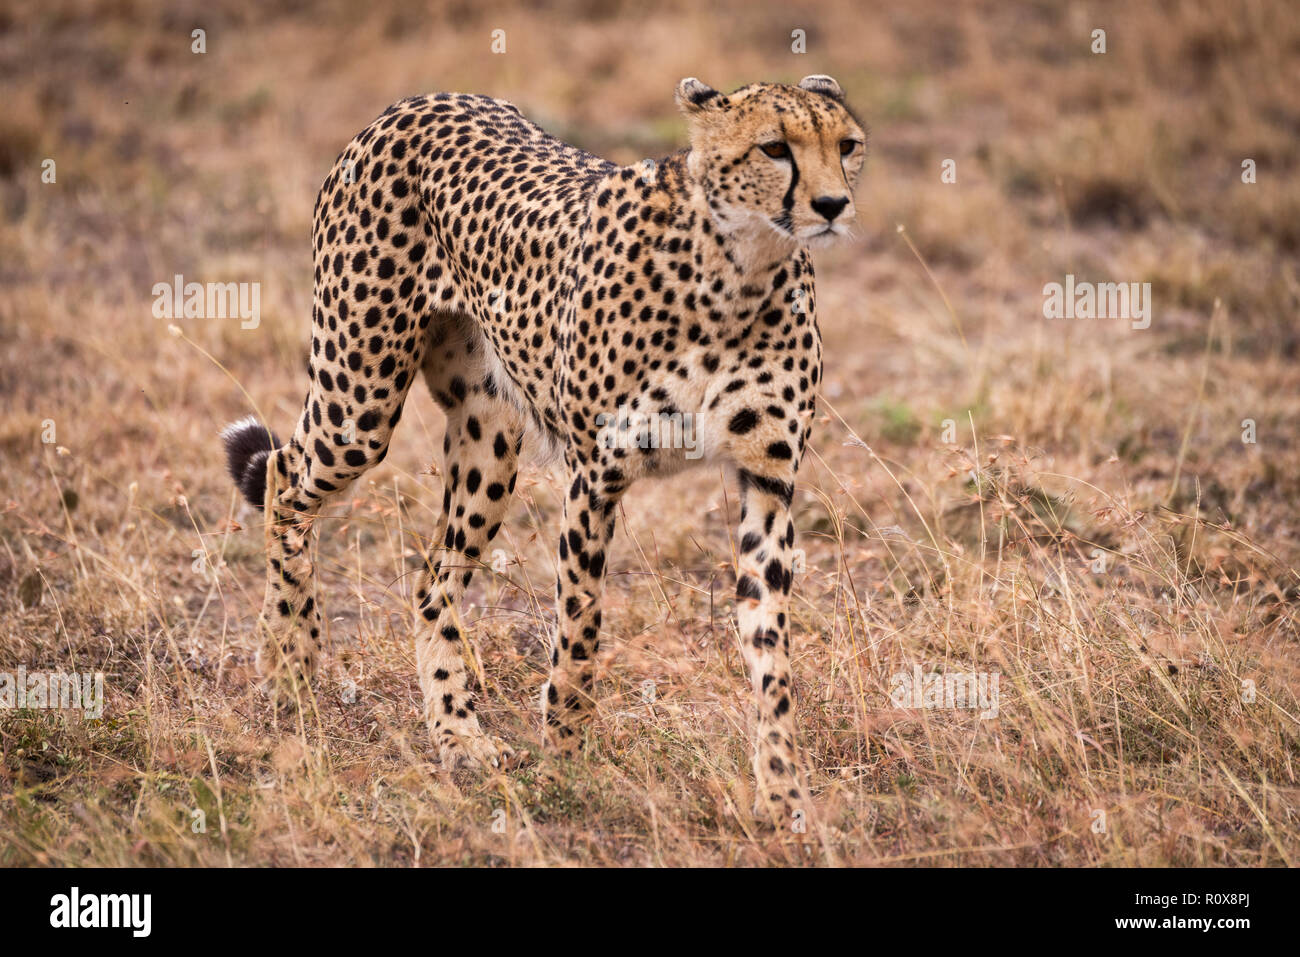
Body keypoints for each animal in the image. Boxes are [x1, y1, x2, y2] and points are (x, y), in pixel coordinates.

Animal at [220, 75, 867, 824]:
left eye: (846, 146)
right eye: (774, 147)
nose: (832, 205)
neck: (740, 270)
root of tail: (420, 99)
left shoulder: (766, 482)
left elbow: (771, 657)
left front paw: (783, 793)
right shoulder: (596, 474)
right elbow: (580, 628)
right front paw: (568, 758)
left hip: (488, 437)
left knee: (431, 576)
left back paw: (457, 729)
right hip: (360, 401)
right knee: (285, 480)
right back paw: (289, 661)